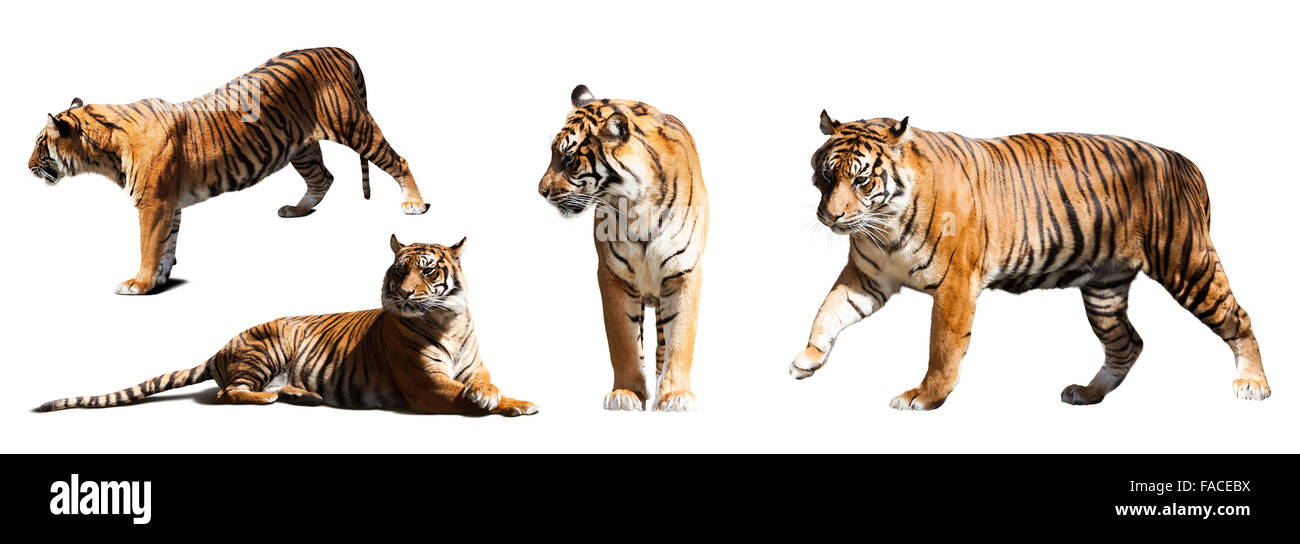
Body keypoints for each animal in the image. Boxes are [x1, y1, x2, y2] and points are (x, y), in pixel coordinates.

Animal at [27, 47, 430, 296]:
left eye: (39, 144)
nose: (27, 167)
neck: (103, 151)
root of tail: (336, 48)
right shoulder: (170, 205)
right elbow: (167, 245)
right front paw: (159, 278)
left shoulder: (152, 203)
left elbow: (148, 246)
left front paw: (138, 284)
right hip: (300, 147)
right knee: (324, 177)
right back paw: (295, 210)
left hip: (352, 125)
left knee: (398, 160)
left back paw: (414, 204)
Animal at [37, 235, 538, 417]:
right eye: (399, 272)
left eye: (429, 270)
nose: (407, 294)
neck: (446, 320)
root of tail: (221, 346)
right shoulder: (424, 384)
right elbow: (466, 394)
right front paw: (504, 403)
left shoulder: (474, 367)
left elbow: (487, 384)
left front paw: (512, 399)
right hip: (265, 351)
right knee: (228, 392)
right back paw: (270, 398)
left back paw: (304, 396)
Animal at [537, 85, 709, 412]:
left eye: (568, 160)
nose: (540, 191)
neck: (638, 205)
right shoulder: (613, 275)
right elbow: (623, 342)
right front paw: (626, 393)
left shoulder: (684, 272)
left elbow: (682, 338)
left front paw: (676, 395)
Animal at [789, 111, 1271, 410]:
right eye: (825, 176)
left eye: (862, 179)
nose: (831, 216)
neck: (883, 225)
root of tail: (1184, 162)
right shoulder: (867, 277)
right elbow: (828, 311)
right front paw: (807, 360)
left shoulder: (954, 285)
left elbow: (942, 347)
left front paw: (923, 397)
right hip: (1105, 288)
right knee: (1127, 342)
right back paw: (1087, 393)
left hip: (1187, 265)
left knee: (1238, 317)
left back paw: (1253, 385)